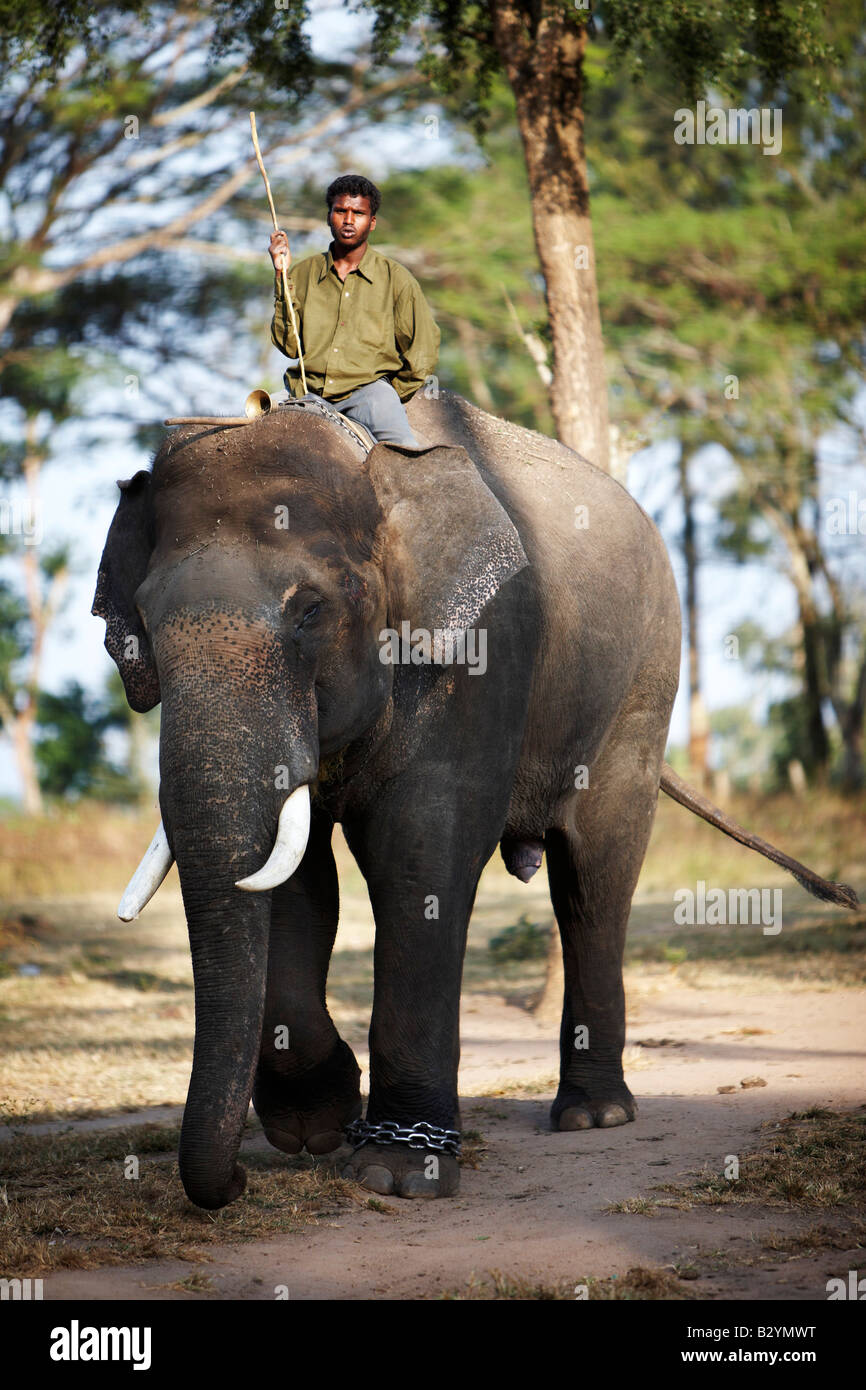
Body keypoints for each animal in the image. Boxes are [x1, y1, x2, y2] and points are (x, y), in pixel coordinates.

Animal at [93, 387, 857, 1210]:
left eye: (311, 610)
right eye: (145, 622)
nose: (233, 1180)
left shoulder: (481, 647)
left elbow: (424, 854)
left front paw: (399, 1174)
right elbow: (295, 878)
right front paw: (317, 1128)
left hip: (644, 684)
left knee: (593, 881)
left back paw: (593, 1116)